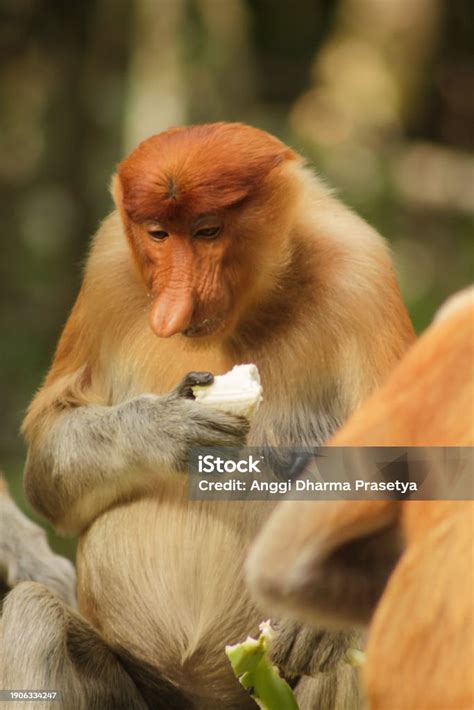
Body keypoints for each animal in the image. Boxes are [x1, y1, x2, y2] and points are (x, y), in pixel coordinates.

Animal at [2, 122, 414, 709]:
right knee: (34, 616)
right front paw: (167, 429)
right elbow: (49, 453)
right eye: (157, 234)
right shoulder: (108, 266)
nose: (174, 306)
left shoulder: (363, 275)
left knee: (337, 664)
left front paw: (326, 624)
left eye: (208, 231)